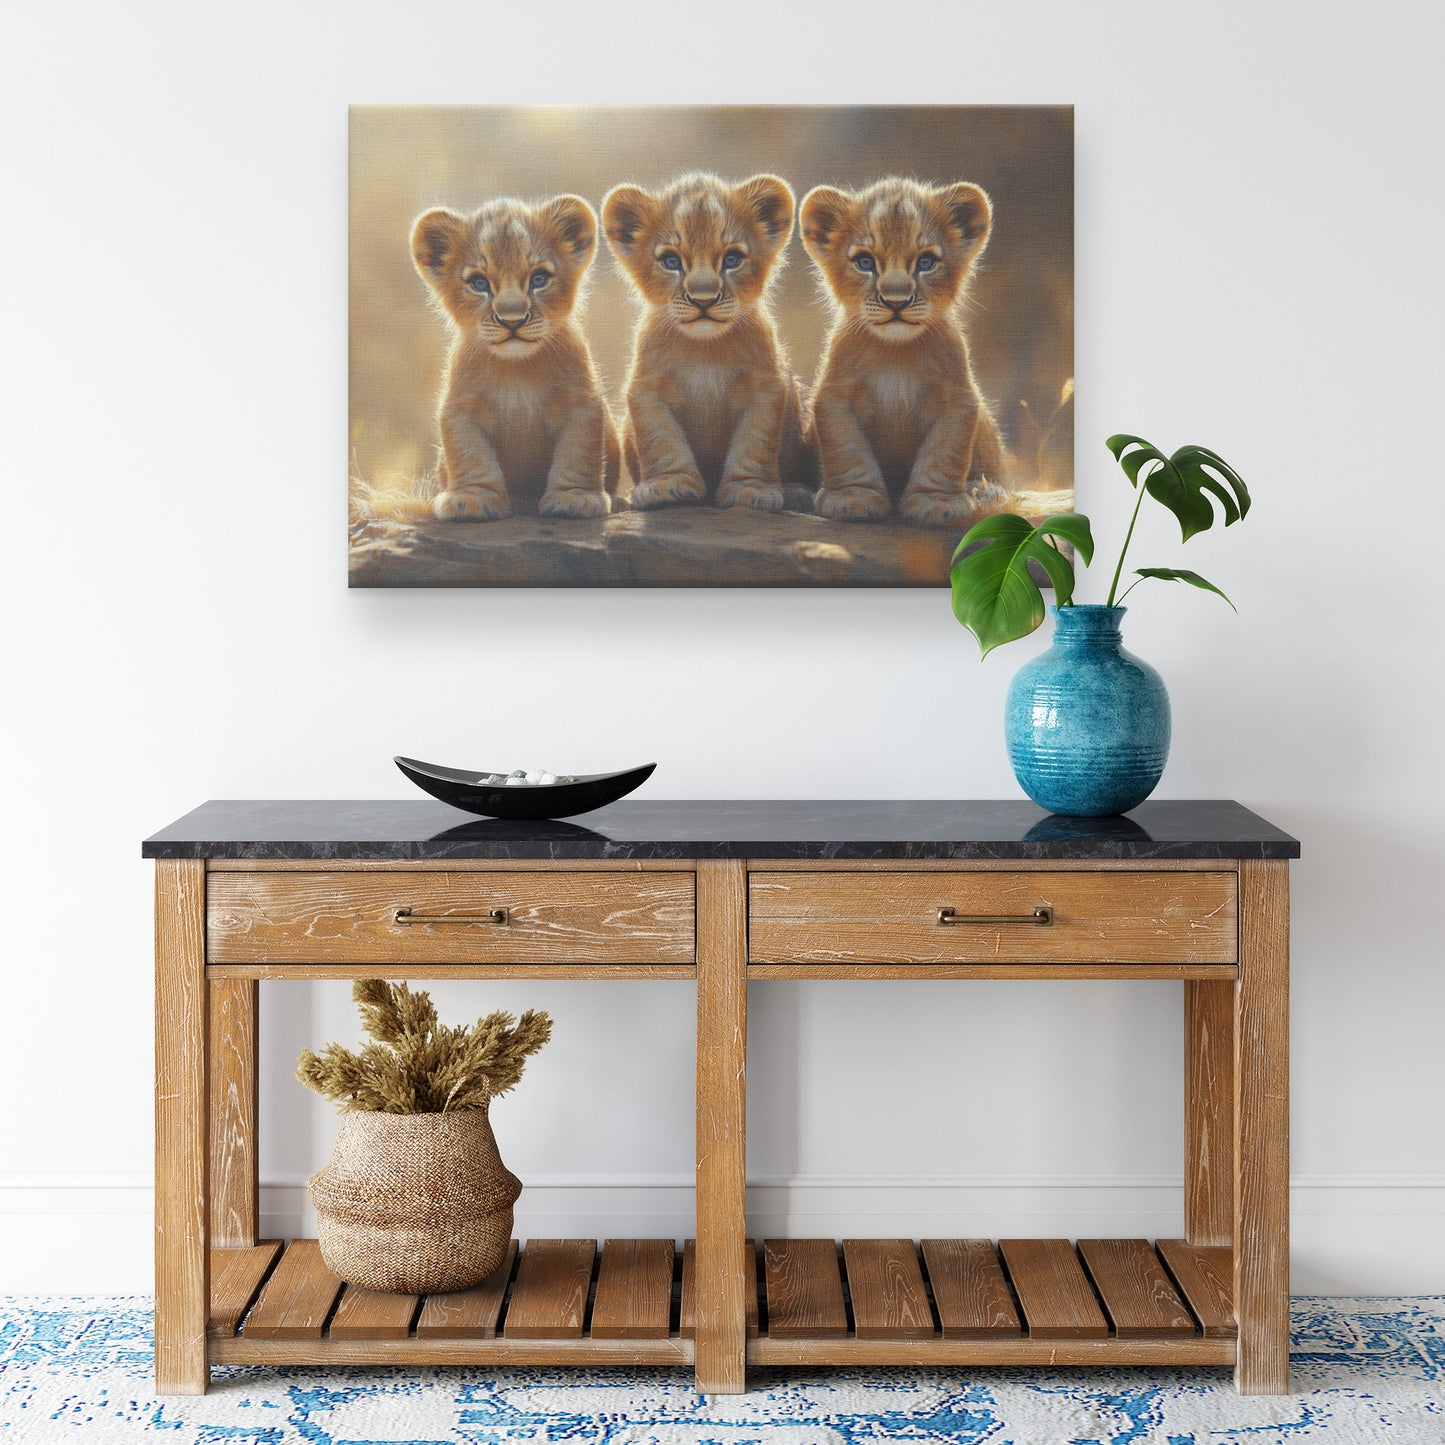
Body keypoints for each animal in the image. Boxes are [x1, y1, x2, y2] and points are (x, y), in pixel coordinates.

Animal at [410, 195, 614, 521]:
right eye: (479, 283)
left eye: (539, 278)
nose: (512, 320)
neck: (517, 370)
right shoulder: (461, 407)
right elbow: (470, 454)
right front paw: (472, 498)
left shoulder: (582, 402)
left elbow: (578, 453)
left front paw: (575, 497)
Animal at [602, 172, 808, 512]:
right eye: (671, 261)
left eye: (732, 259)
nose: (703, 300)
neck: (704, 349)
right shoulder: (647, 388)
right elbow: (661, 440)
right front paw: (668, 485)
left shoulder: (765, 387)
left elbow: (755, 443)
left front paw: (749, 490)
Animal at [800, 177, 1007, 525]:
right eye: (865, 262)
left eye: (926, 262)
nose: (896, 301)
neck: (894, 354)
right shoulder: (835, 396)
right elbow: (847, 450)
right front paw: (853, 498)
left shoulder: (958, 399)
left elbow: (944, 454)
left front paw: (936, 503)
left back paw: (987, 492)